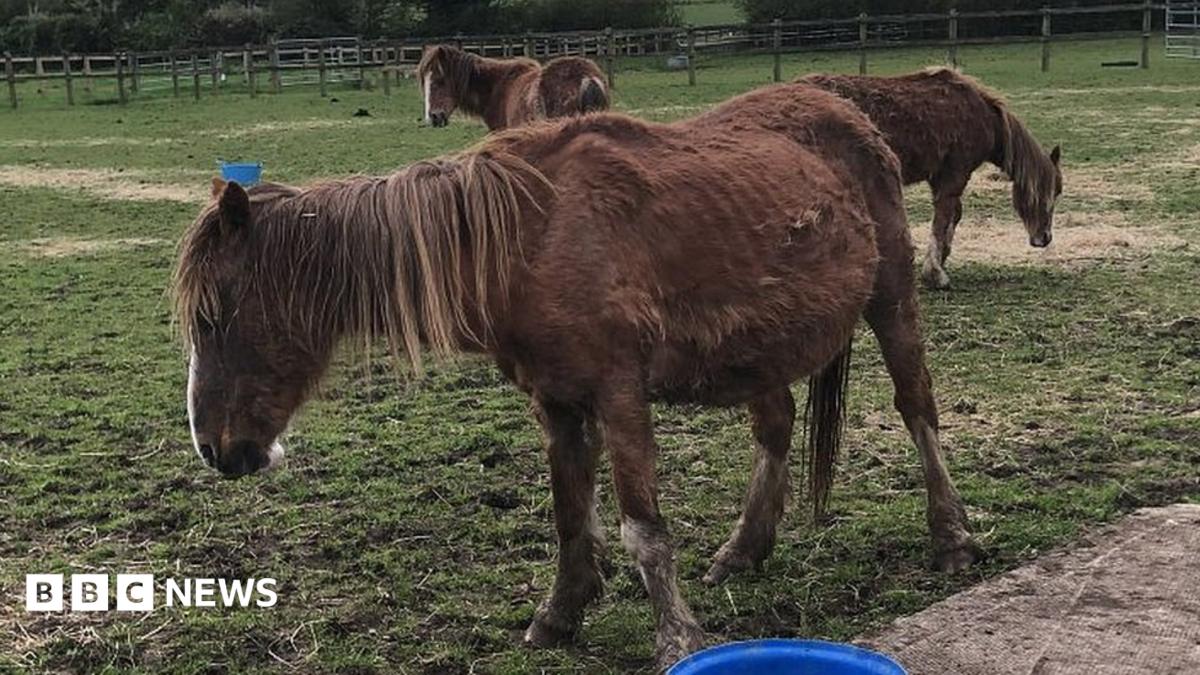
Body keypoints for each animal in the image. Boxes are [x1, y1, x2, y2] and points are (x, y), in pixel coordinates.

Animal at [174, 84, 977, 670]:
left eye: (214, 315)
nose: (215, 449)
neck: (526, 237)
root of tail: (848, 113)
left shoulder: (619, 395)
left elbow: (641, 527)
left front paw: (677, 636)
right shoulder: (556, 401)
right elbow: (568, 515)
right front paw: (557, 615)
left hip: (891, 298)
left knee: (917, 405)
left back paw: (953, 535)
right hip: (760, 350)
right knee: (775, 427)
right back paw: (743, 549)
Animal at [800, 68, 1063, 289]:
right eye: (1056, 191)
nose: (1044, 238)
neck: (983, 116)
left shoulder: (940, 176)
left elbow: (953, 216)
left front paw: (942, 260)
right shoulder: (955, 175)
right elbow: (942, 219)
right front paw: (935, 274)